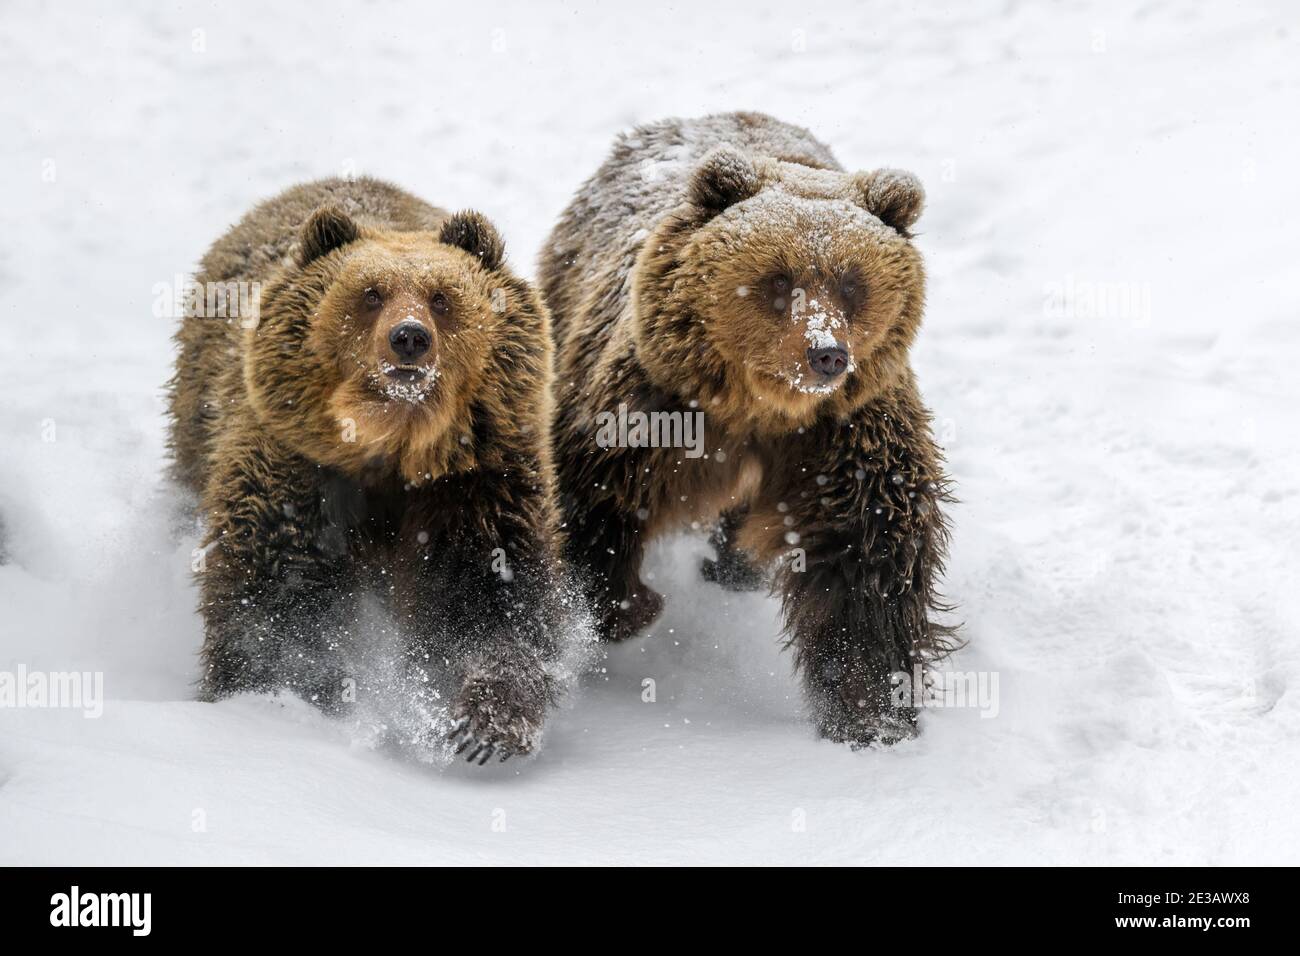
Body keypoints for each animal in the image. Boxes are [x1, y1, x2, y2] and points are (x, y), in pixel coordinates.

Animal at [168, 177, 573, 763]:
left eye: (441, 297)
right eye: (371, 293)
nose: (409, 337)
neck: (392, 449)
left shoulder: (474, 481)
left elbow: (489, 591)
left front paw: (485, 722)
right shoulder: (298, 468)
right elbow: (275, 595)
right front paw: (273, 699)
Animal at [538, 112, 957, 747]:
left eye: (853, 283)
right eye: (779, 280)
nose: (826, 353)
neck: (763, 408)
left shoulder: (846, 434)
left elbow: (867, 552)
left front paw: (870, 711)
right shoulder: (655, 407)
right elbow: (599, 497)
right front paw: (627, 607)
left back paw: (732, 566)